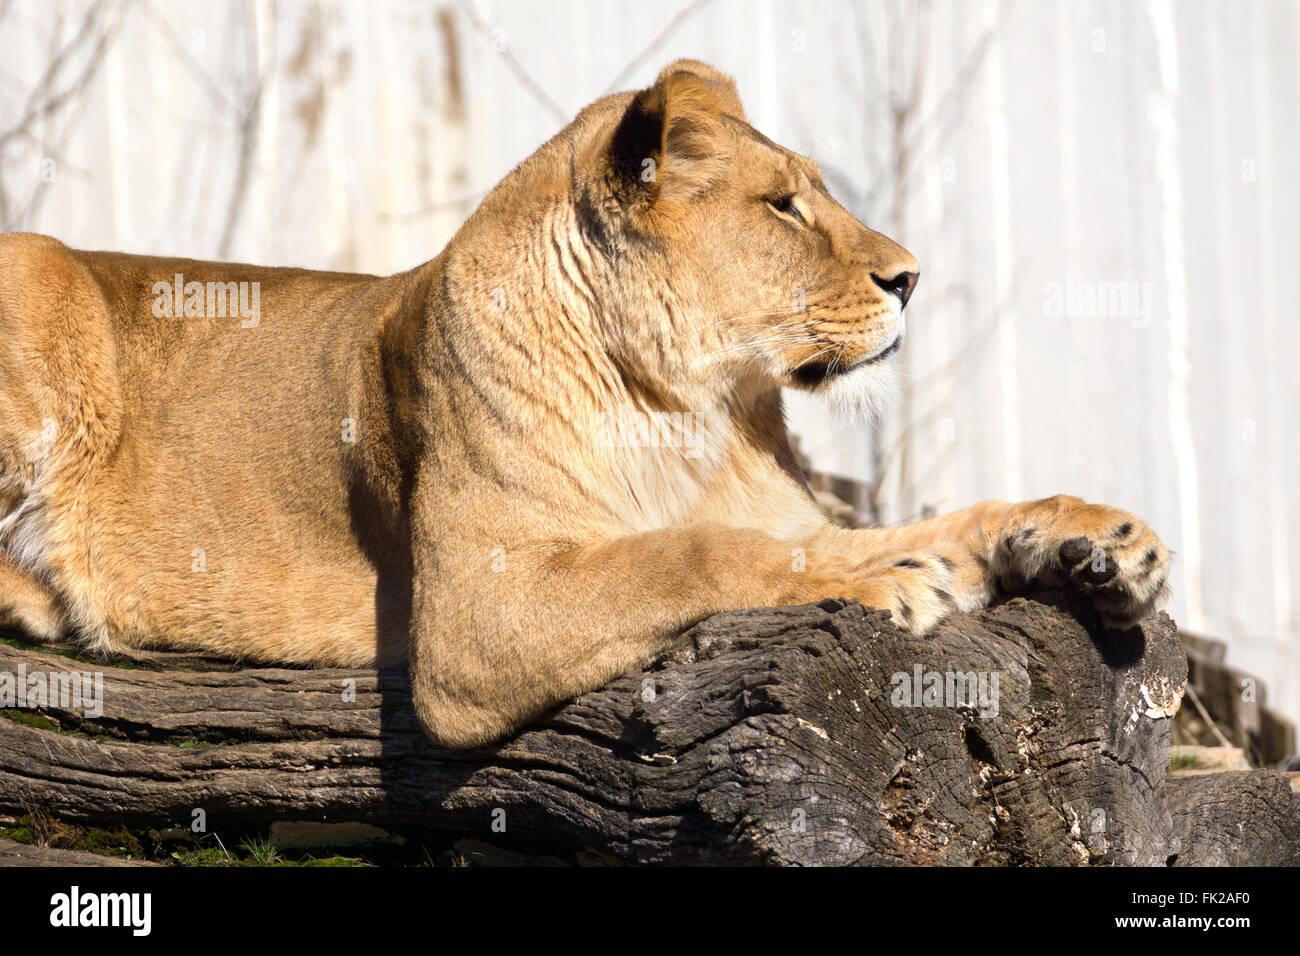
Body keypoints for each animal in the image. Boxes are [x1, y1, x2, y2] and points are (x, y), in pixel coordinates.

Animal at [0, 60, 1170, 748]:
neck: (689, 404)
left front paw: (1095, 543)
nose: (912, 278)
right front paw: (885, 580)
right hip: (38, 292)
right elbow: (691, 551)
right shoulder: (475, 616)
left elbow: (947, 519)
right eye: (784, 206)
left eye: (816, 194)